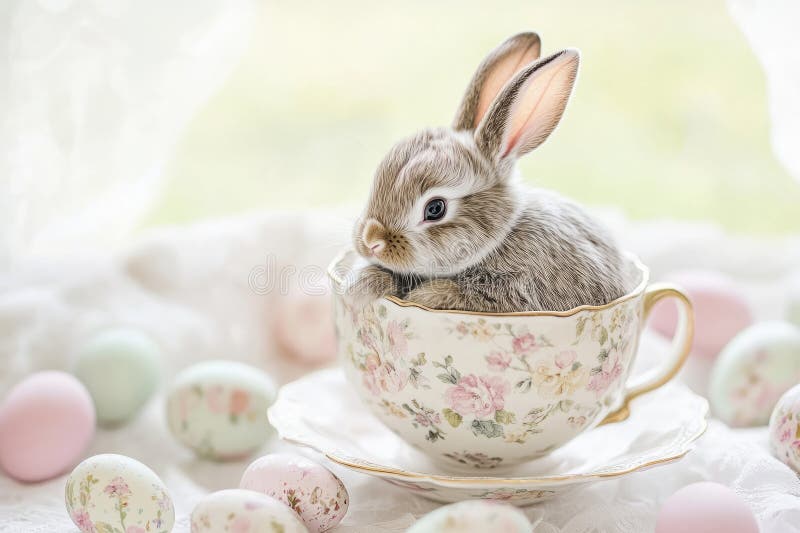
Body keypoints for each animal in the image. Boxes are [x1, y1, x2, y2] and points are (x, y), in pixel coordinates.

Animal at [344, 31, 632, 313]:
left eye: (435, 209)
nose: (370, 242)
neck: (501, 237)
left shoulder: (519, 291)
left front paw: (422, 296)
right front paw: (357, 287)